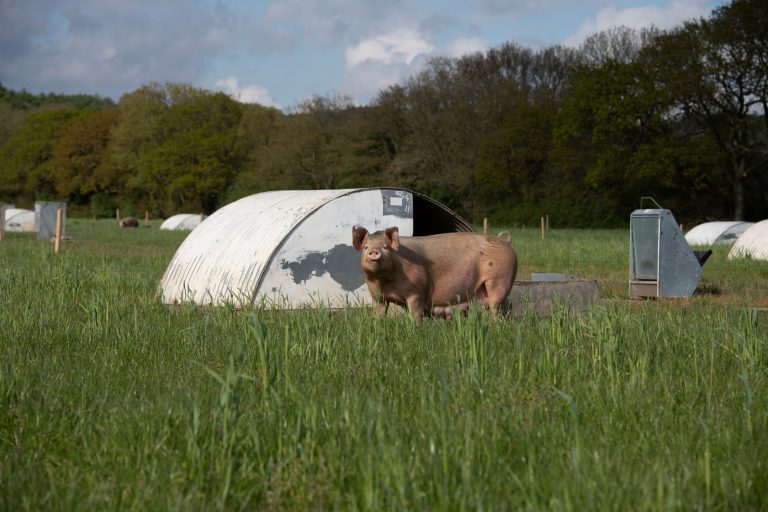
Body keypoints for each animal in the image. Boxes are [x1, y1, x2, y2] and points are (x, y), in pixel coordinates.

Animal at [352, 226, 518, 322]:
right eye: (366, 247)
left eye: (386, 247)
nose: (374, 251)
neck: (385, 282)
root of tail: (505, 242)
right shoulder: (377, 296)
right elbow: (378, 313)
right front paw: (378, 325)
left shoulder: (416, 291)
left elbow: (415, 314)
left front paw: (414, 329)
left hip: (500, 279)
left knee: (496, 306)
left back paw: (495, 325)